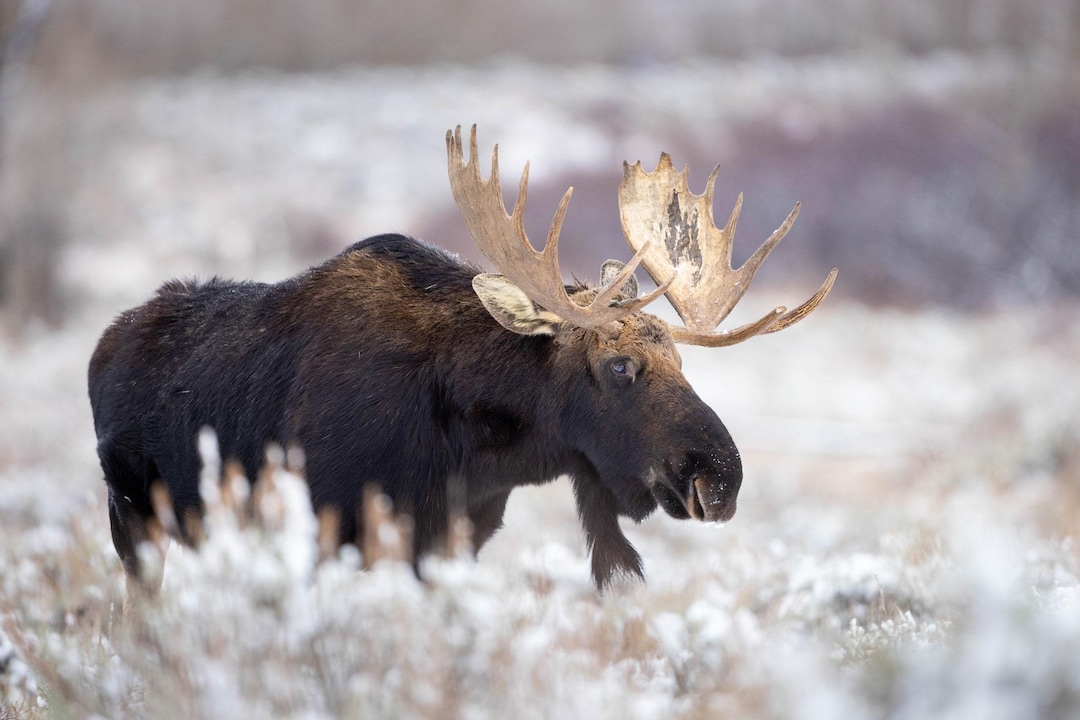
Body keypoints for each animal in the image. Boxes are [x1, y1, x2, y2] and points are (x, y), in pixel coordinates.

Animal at [88, 126, 836, 590]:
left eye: (684, 365)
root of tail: (104, 345)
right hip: (133, 523)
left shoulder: (459, 536)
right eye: (619, 367)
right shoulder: (330, 529)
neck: (467, 451)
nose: (721, 475)